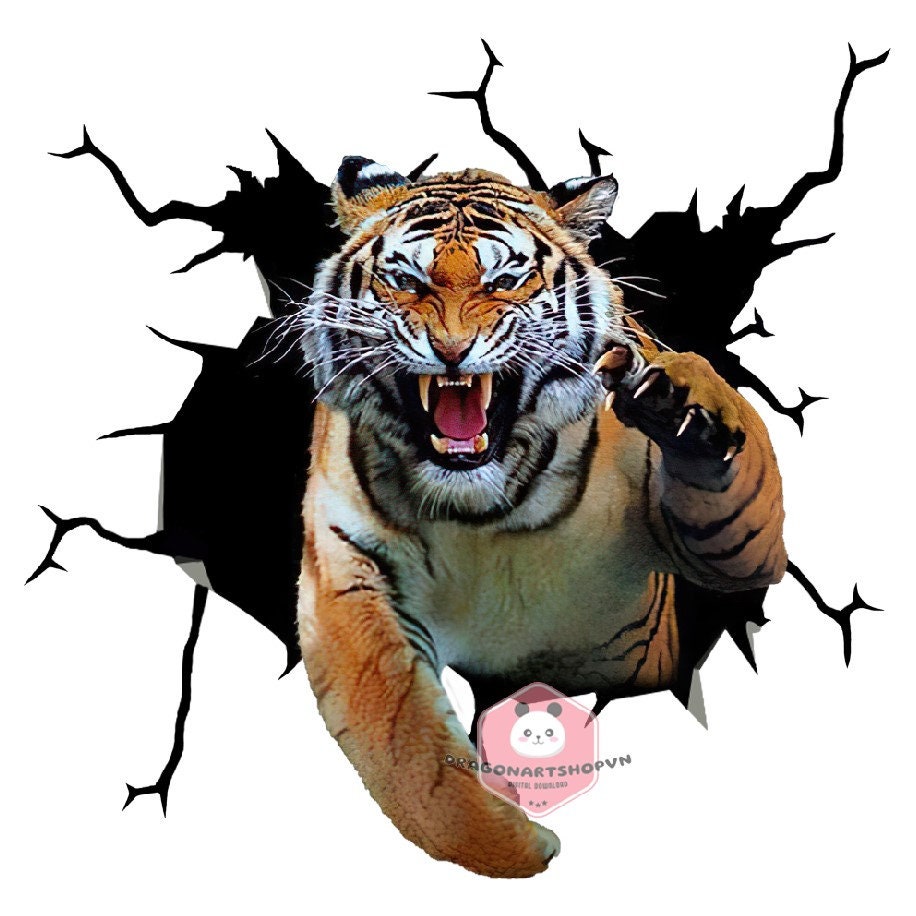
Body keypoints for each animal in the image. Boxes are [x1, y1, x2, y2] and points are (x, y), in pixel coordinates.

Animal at [296, 156, 787, 878]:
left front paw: (684, 406)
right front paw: (512, 845)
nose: (451, 349)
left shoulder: (734, 548)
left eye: (504, 279)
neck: (481, 507)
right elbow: (406, 741)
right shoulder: (350, 572)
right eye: (407, 280)